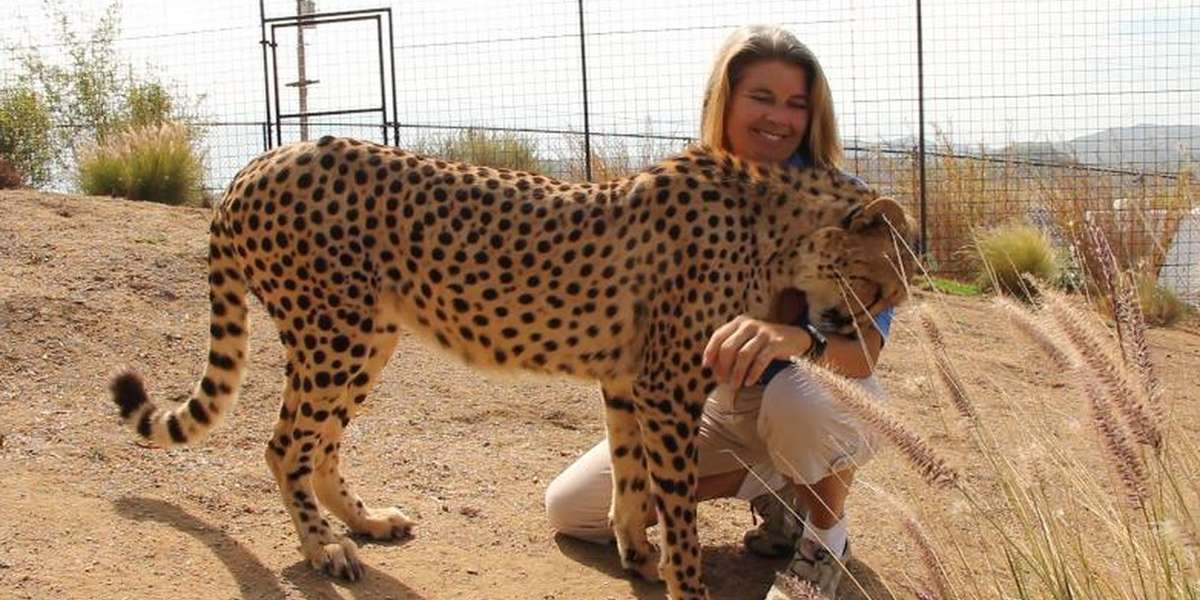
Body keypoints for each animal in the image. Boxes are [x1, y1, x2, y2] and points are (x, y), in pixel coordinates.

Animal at [107, 135, 914, 600]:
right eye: (879, 287)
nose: (865, 332)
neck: (773, 230)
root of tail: (259, 162)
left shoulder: (629, 383)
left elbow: (630, 477)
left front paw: (634, 552)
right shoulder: (667, 386)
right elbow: (678, 510)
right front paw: (682, 581)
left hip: (367, 335)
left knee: (320, 444)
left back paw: (364, 522)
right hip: (335, 331)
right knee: (284, 446)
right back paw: (323, 547)